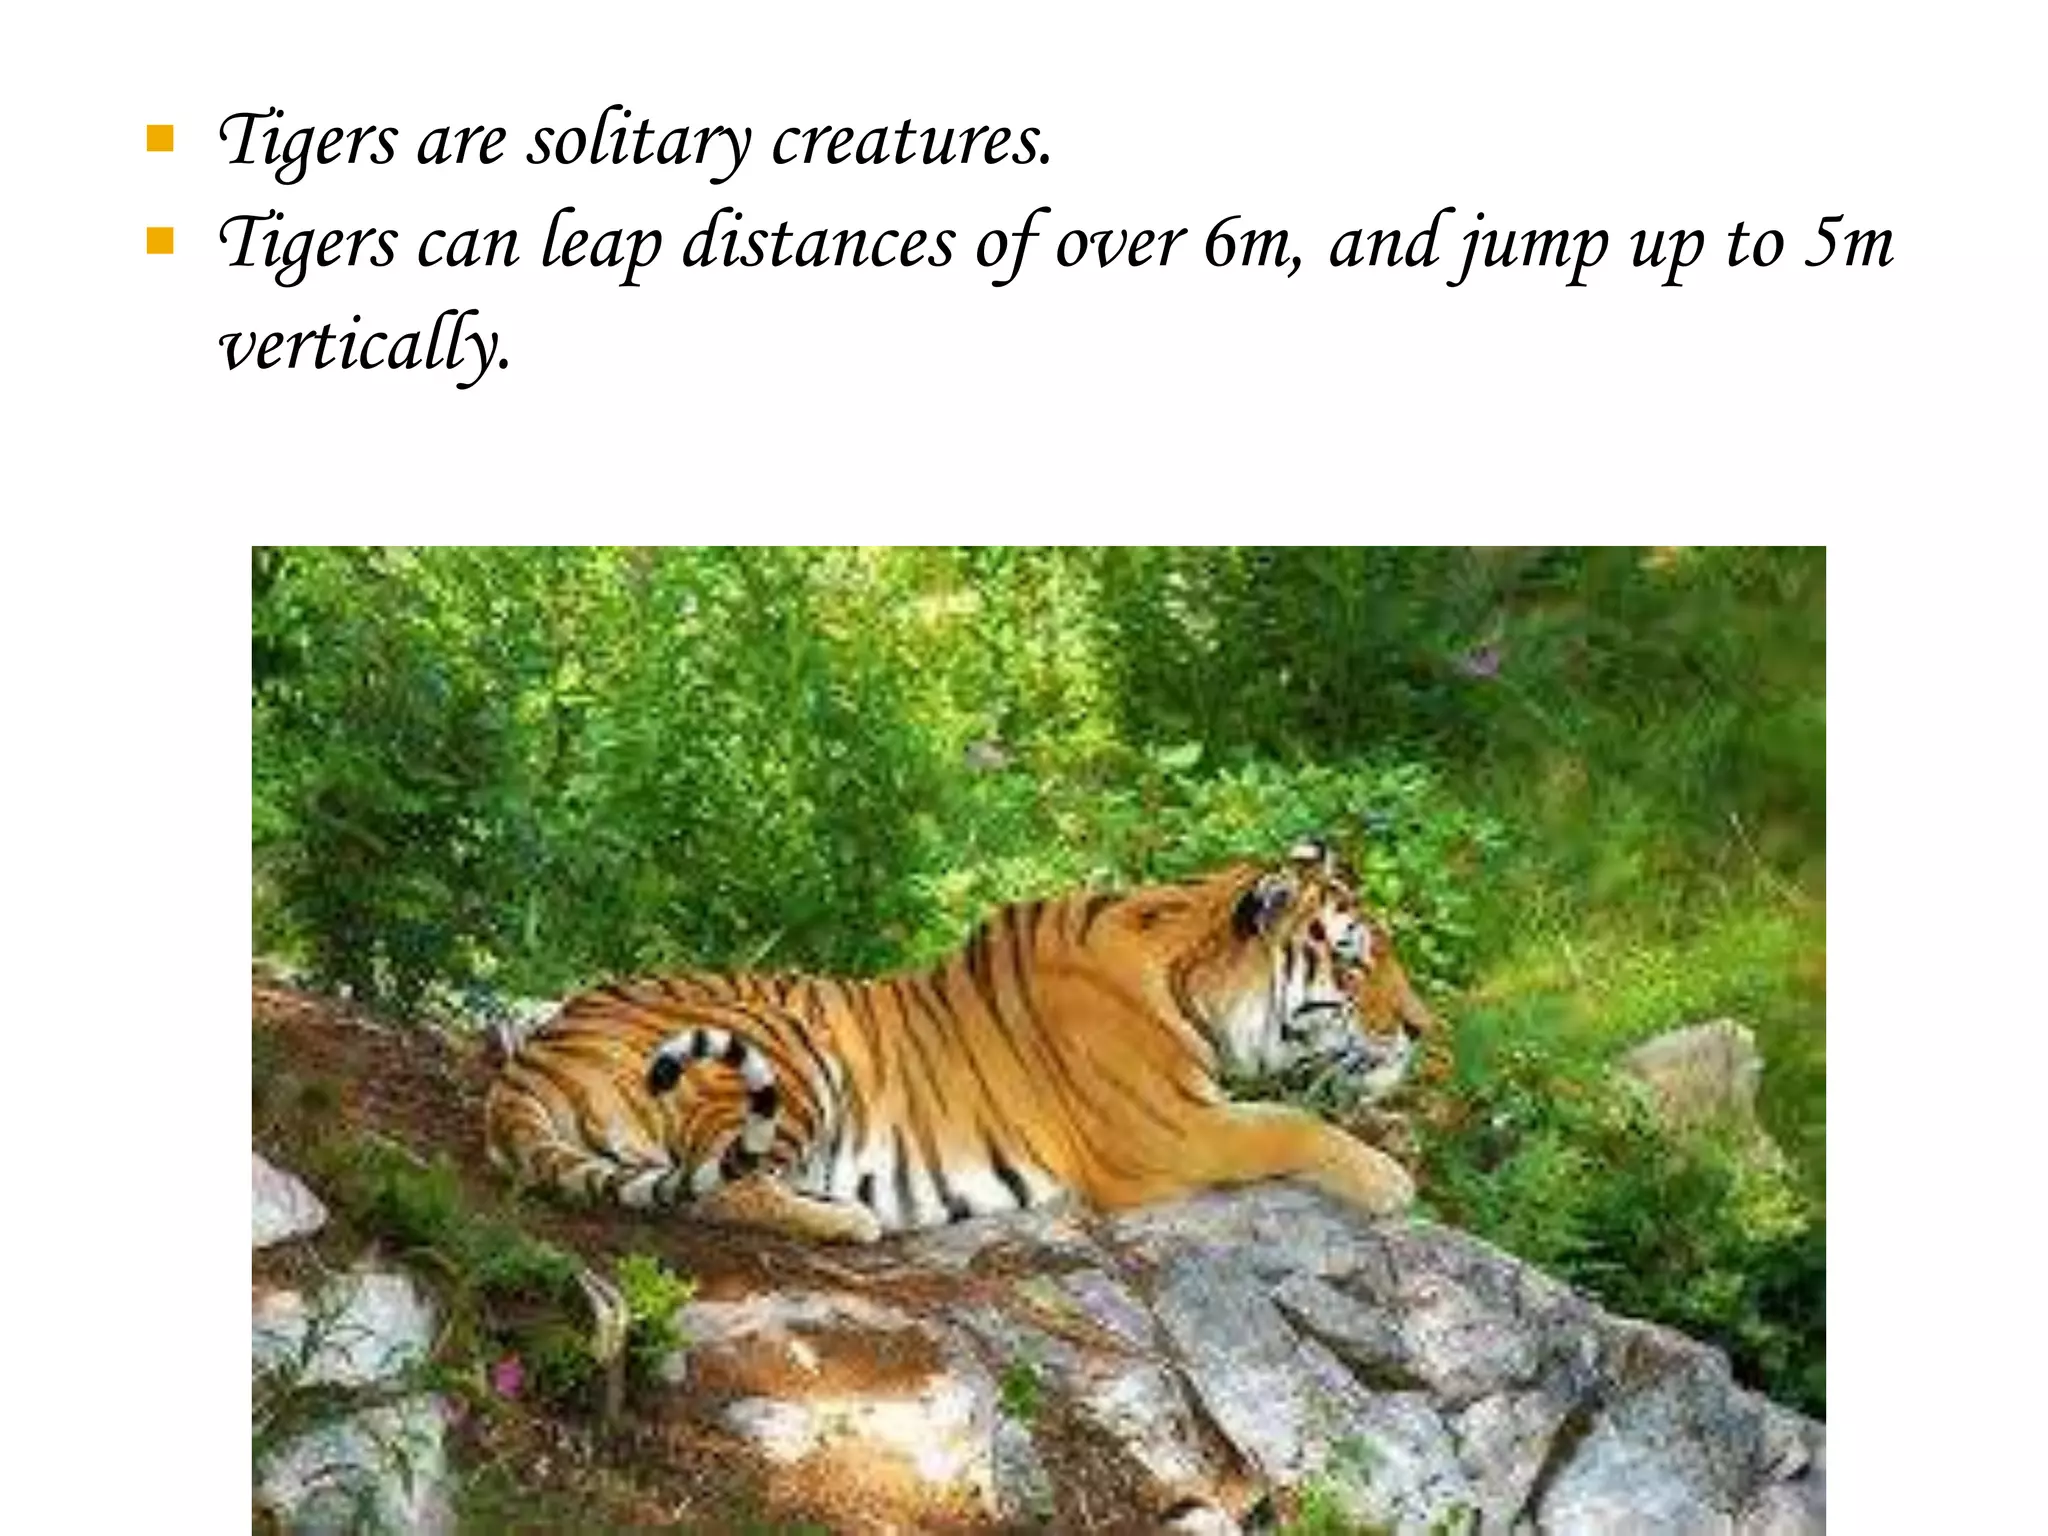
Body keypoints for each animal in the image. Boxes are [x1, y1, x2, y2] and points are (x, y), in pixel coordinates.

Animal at [482, 840, 1439, 1243]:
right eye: (1353, 959)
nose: (1422, 1028)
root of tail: (531, 1058)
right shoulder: (1170, 1134)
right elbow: (1292, 1123)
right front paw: (1392, 1182)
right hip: (779, 1050)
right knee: (714, 1190)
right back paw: (851, 1218)